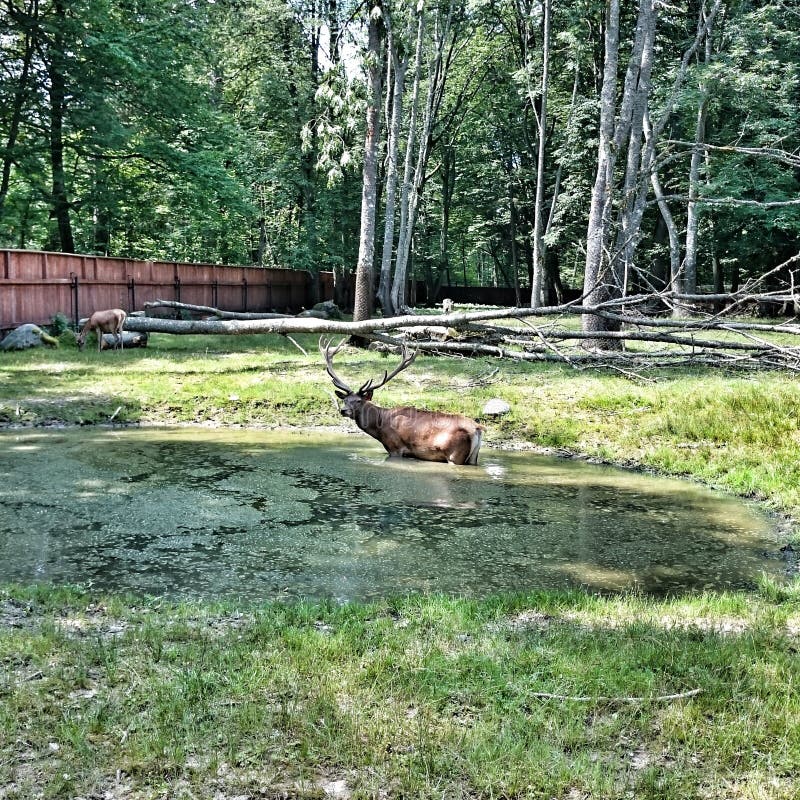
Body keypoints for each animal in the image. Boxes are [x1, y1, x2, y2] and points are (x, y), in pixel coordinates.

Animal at [321, 337, 484, 466]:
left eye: (359, 401)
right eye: (345, 400)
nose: (343, 410)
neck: (380, 426)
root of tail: (477, 429)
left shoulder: (395, 447)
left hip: (454, 454)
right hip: (473, 457)